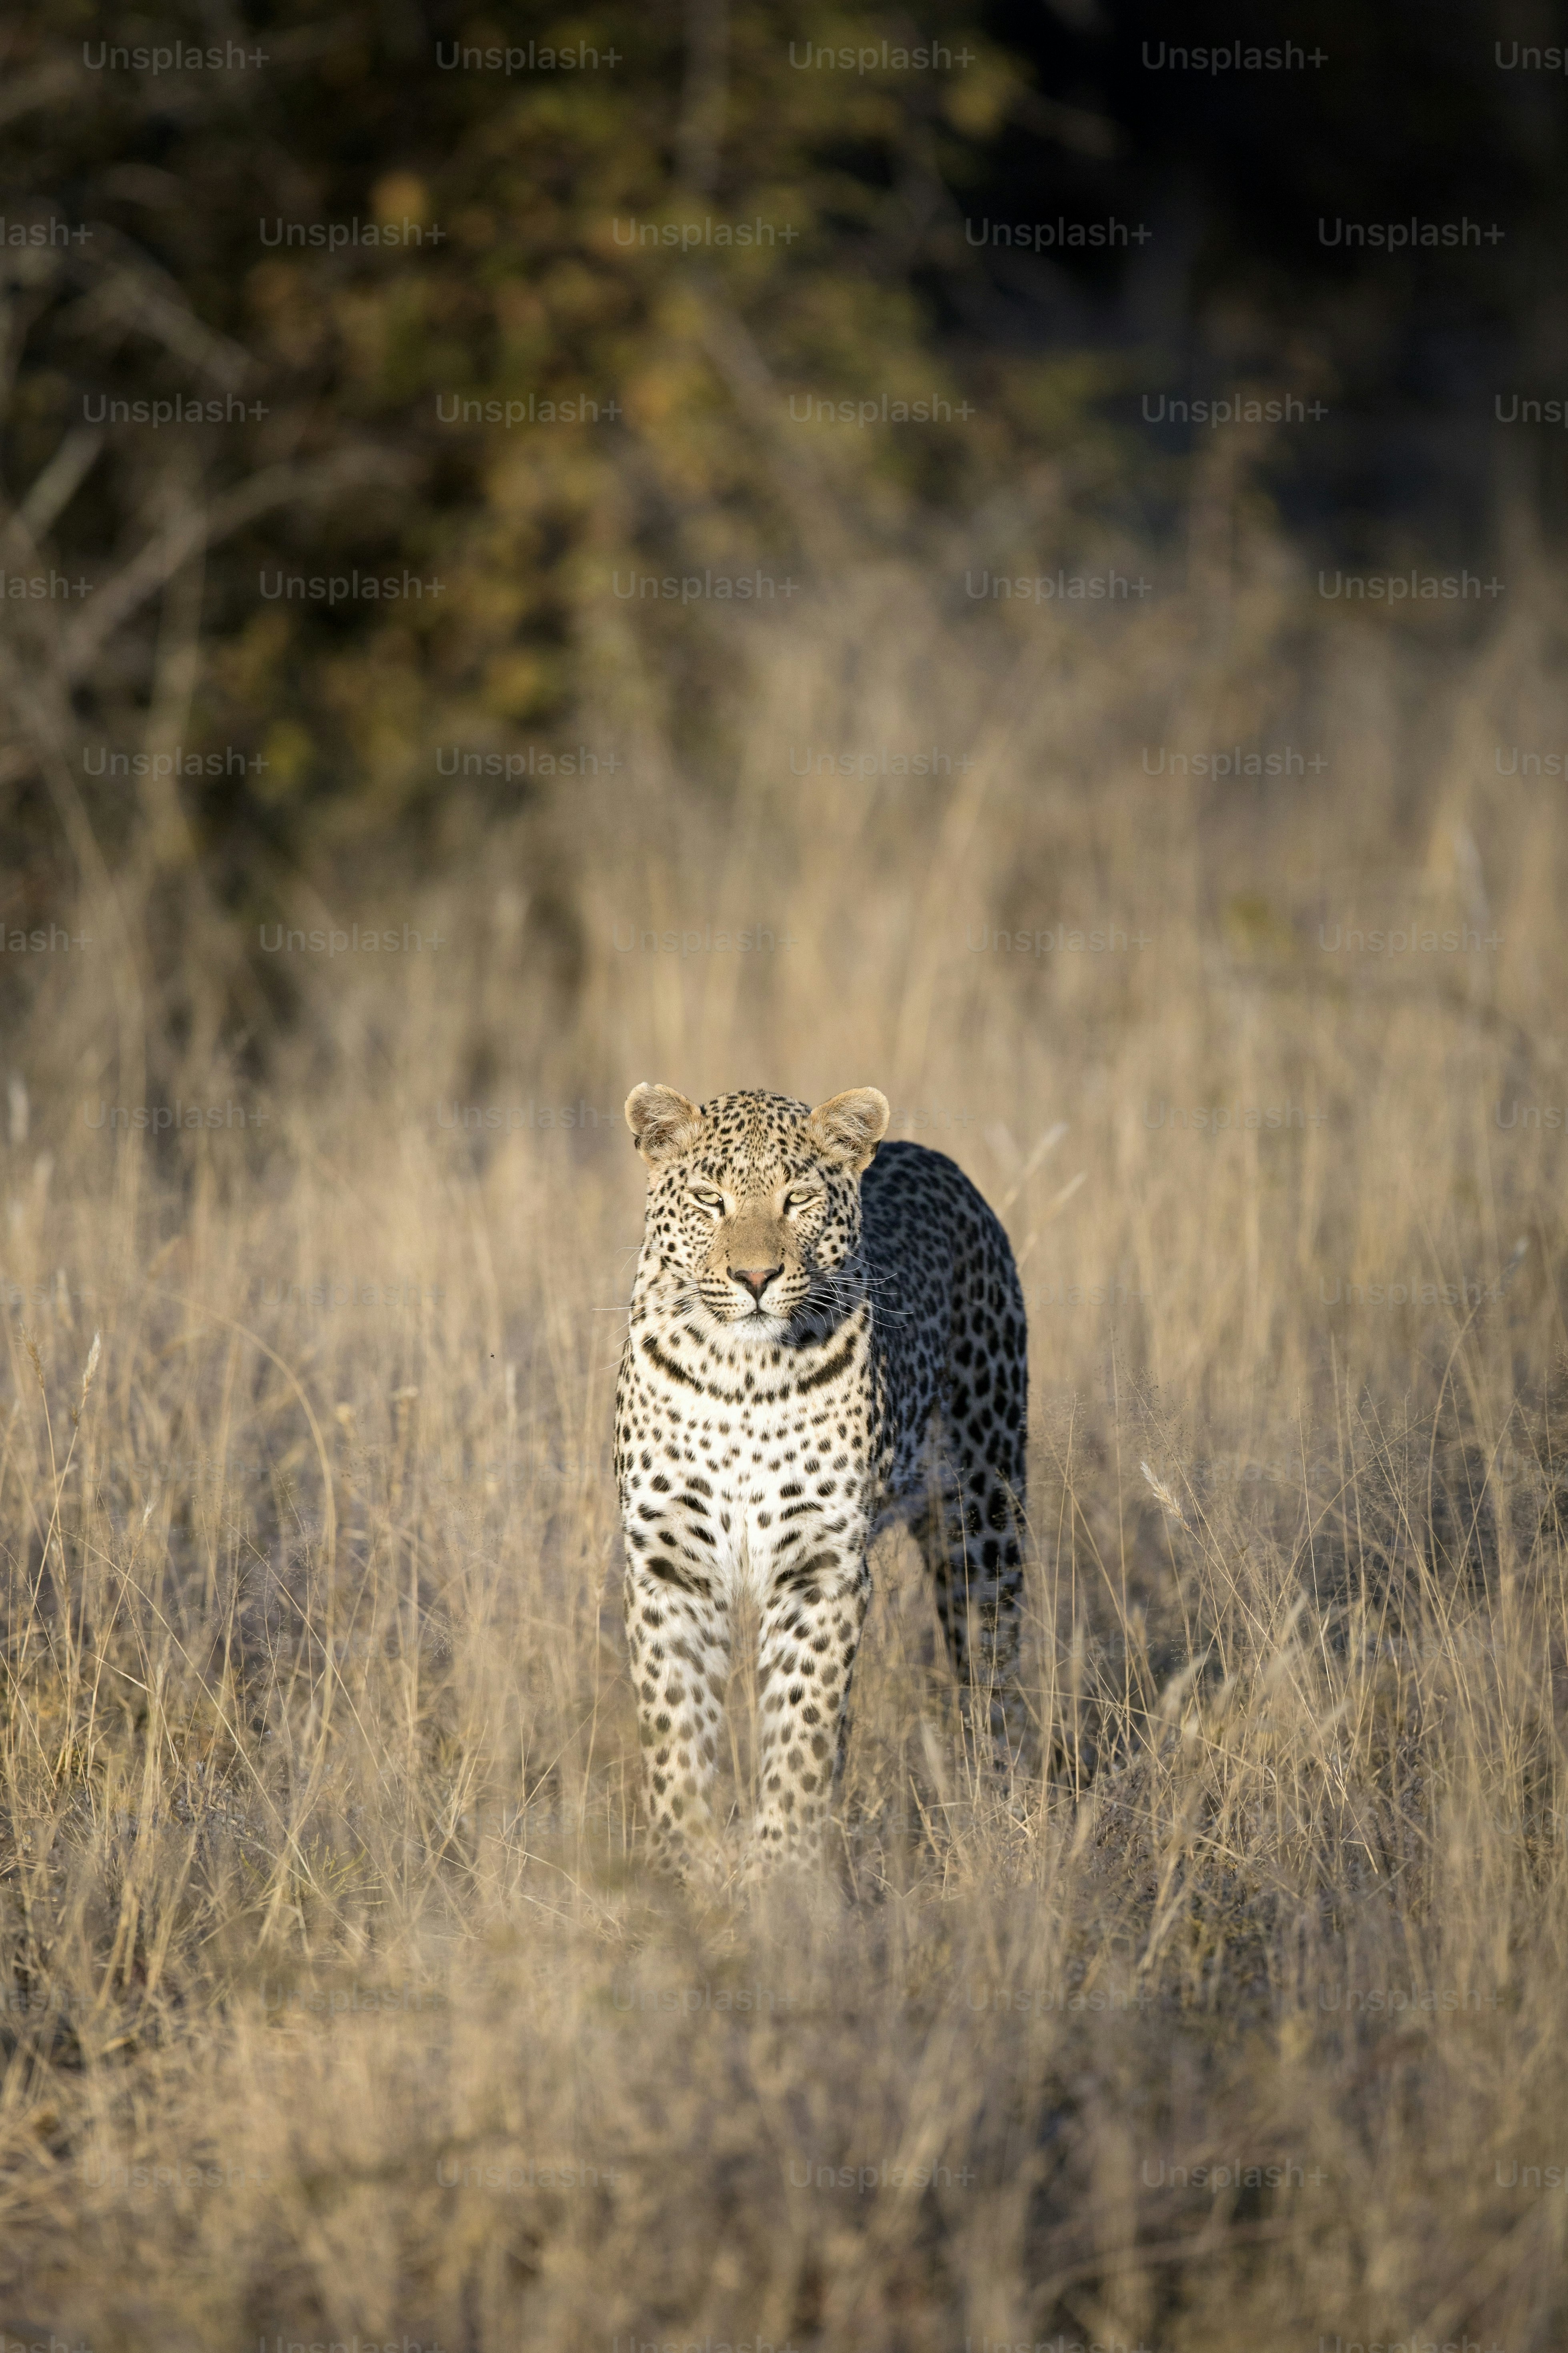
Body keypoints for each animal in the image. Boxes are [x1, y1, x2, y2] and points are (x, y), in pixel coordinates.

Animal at [614, 1080, 1029, 1879]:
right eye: (709, 1199)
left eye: (797, 1198)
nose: (754, 1278)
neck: (741, 1374)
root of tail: (924, 1151)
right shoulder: (671, 1562)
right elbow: (673, 1723)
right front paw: (688, 1860)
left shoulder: (820, 1566)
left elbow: (804, 1726)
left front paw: (782, 1866)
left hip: (984, 1512)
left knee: (993, 1672)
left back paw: (1001, 1817)